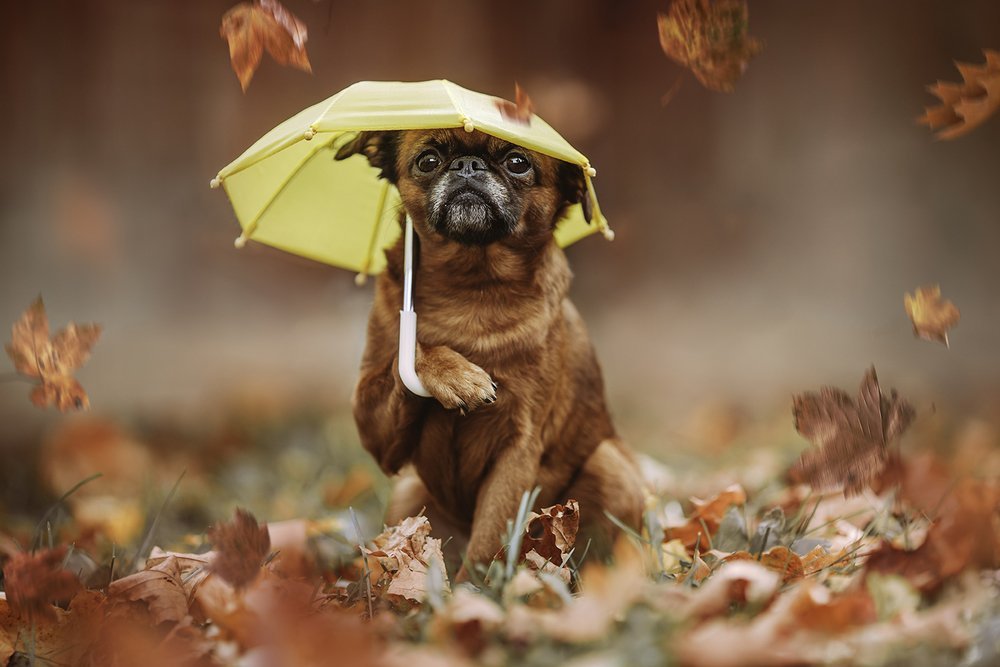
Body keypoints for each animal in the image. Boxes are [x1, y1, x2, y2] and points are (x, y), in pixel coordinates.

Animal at [338, 126, 648, 576]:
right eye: (427, 161)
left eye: (518, 162)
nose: (468, 164)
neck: (473, 287)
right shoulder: (378, 438)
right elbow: (410, 353)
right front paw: (458, 376)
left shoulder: (518, 451)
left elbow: (488, 541)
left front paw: (471, 591)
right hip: (408, 492)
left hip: (610, 467)